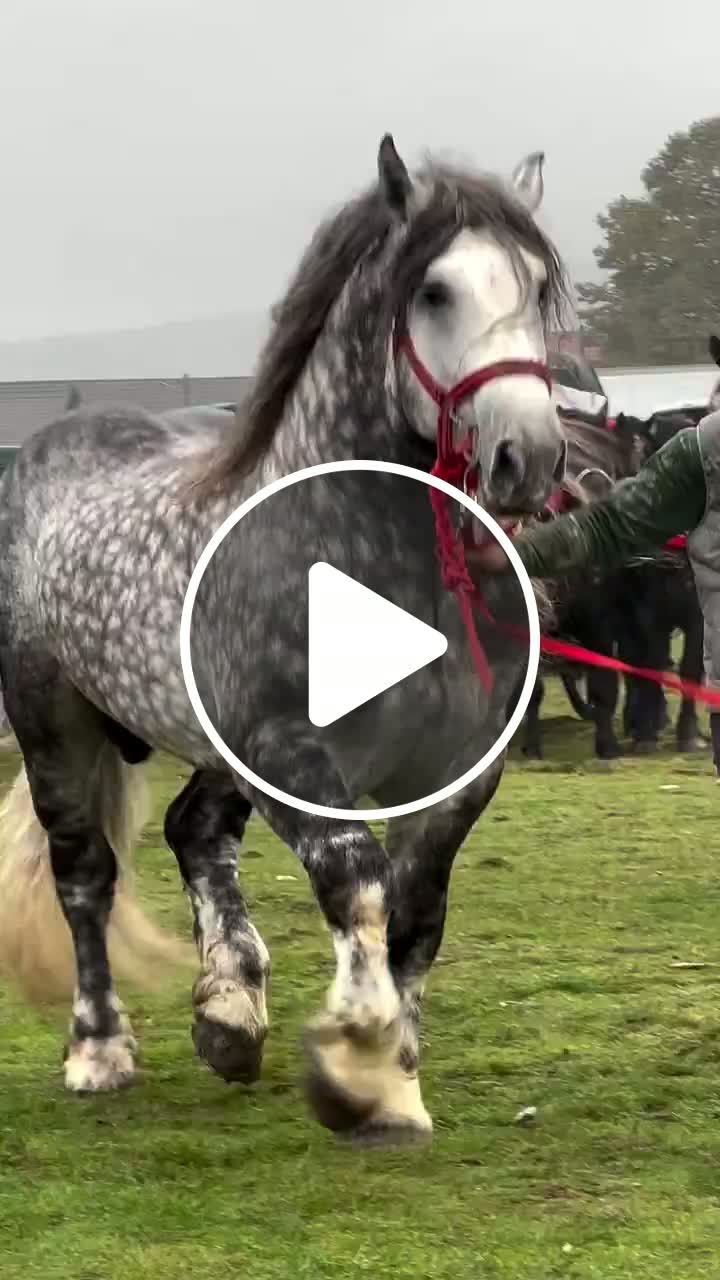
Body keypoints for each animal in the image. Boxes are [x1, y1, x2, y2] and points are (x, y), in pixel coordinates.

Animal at [0, 135, 568, 1145]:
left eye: (539, 286)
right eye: (434, 291)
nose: (527, 456)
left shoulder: (461, 771)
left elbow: (418, 911)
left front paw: (396, 1085)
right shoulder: (289, 753)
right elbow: (359, 885)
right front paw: (358, 1064)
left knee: (192, 833)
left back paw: (230, 1015)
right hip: (52, 725)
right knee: (84, 875)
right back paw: (100, 1051)